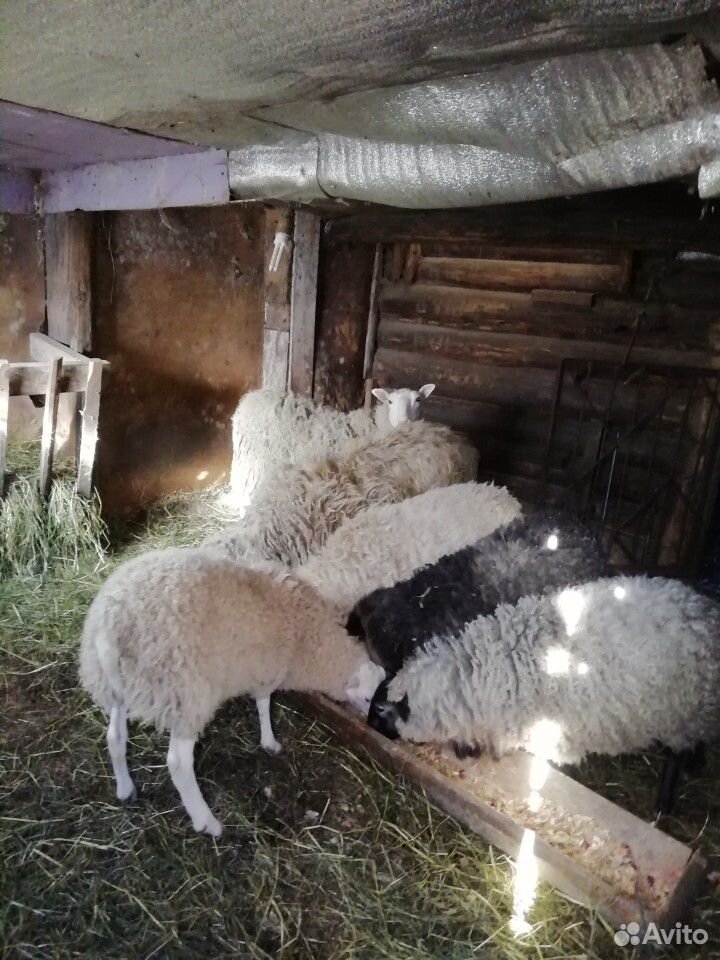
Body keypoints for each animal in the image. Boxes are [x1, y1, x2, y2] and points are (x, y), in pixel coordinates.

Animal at [78, 547, 385, 837]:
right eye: (367, 698)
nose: (372, 725)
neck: (307, 633)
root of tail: (109, 627)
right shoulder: (267, 669)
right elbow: (263, 704)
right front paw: (269, 741)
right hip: (185, 694)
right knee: (178, 762)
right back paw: (207, 822)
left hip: (115, 687)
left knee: (115, 736)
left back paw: (125, 788)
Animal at [371, 575, 720, 814]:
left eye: (380, 709)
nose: (371, 727)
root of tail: (704, 611)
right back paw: (697, 765)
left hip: (683, 712)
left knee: (677, 754)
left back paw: (664, 802)